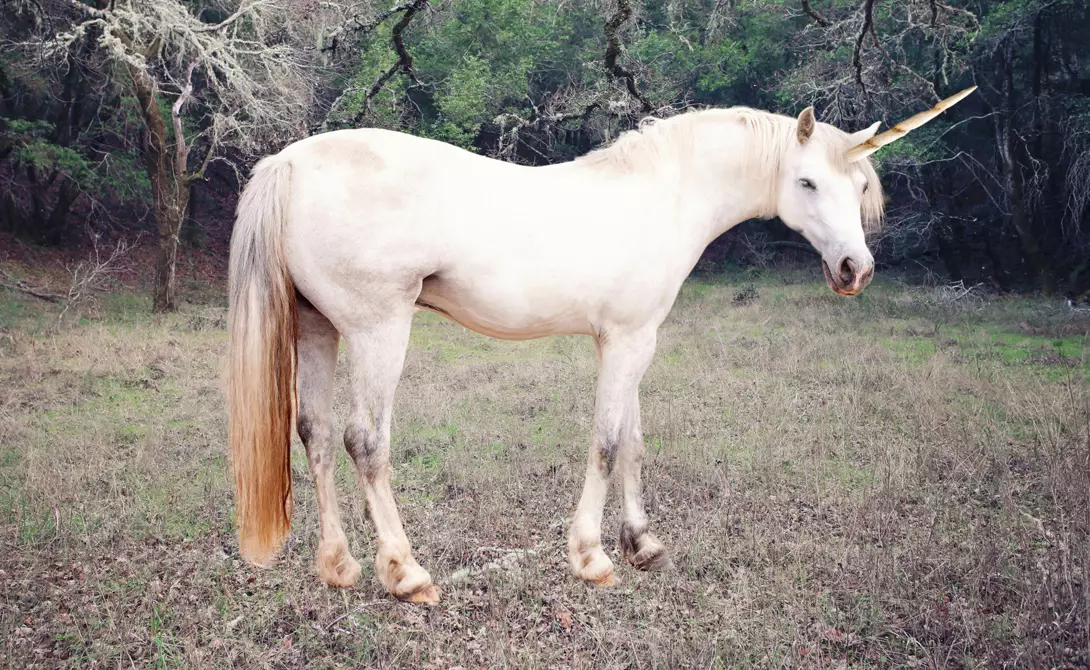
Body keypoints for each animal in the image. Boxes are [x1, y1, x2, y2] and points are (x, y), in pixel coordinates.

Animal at [225, 87, 976, 601]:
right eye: (808, 181)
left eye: (858, 185)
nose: (855, 269)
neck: (660, 196)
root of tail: (290, 162)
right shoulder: (625, 341)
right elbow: (608, 443)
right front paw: (591, 557)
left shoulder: (632, 341)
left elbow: (634, 441)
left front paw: (643, 543)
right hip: (379, 331)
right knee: (365, 442)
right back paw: (406, 573)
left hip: (317, 328)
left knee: (316, 435)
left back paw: (339, 566)